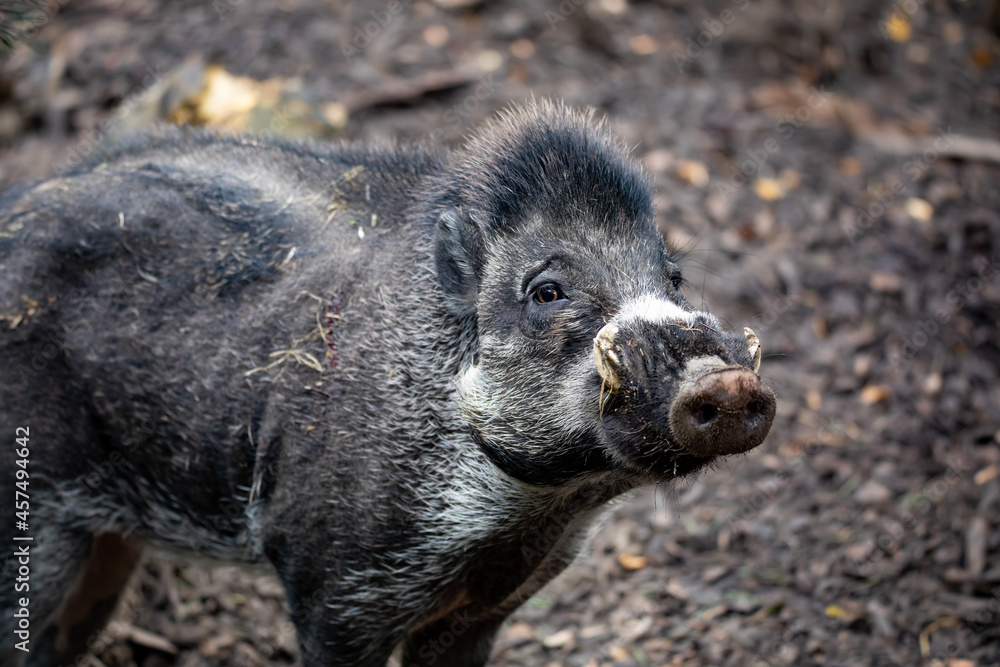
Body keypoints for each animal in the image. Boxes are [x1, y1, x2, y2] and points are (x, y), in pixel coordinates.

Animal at [0, 100, 775, 666]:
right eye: (547, 290)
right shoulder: (330, 585)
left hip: (106, 540)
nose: (728, 380)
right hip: (36, 512)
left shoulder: (489, 607)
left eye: (671, 277)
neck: (524, 513)